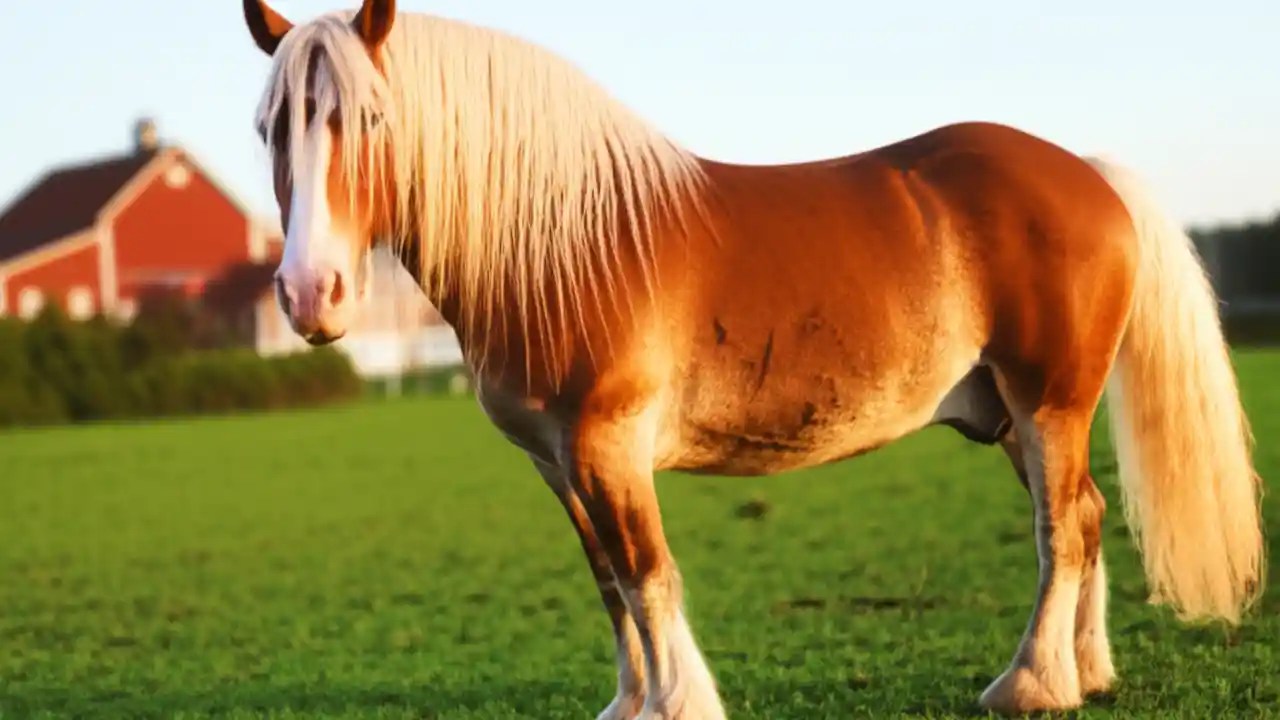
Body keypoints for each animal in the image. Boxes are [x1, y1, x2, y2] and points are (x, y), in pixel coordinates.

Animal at [241, 2, 1265, 717]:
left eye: (372, 120)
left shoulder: (610, 449)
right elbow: (609, 582)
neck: (565, 245)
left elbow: (649, 575)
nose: (310, 295)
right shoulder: (557, 462)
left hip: (1050, 402)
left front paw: (679, 705)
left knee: (1063, 531)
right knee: (1085, 516)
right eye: (270, 128)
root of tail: (1089, 174)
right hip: (1014, 416)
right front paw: (631, 704)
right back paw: (1086, 675)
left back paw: (1032, 685)